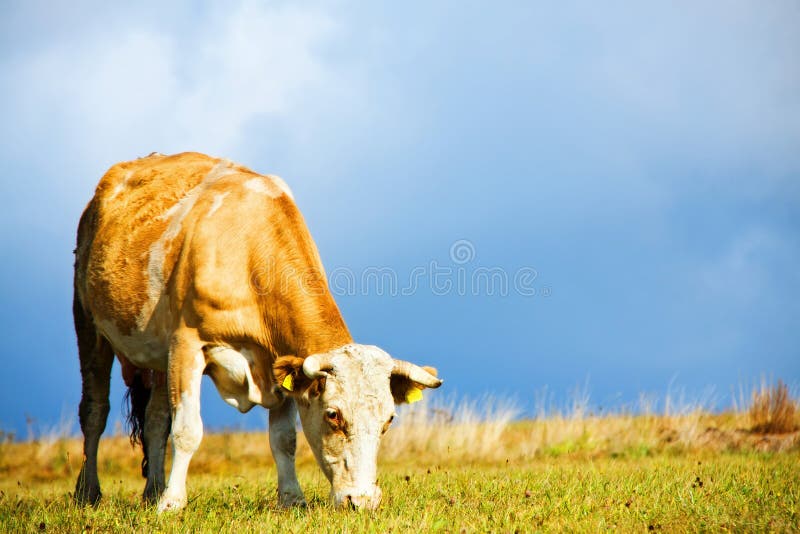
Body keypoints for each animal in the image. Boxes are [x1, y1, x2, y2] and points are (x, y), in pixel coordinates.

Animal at [72, 152, 442, 512]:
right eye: (333, 415)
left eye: (388, 419)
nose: (362, 501)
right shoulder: (186, 344)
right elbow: (187, 430)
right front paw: (173, 503)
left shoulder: (279, 360)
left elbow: (284, 439)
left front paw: (292, 499)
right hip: (89, 323)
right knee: (94, 410)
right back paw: (89, 492)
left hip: (159, 356)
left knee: (155, 418)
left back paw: (152, 492)